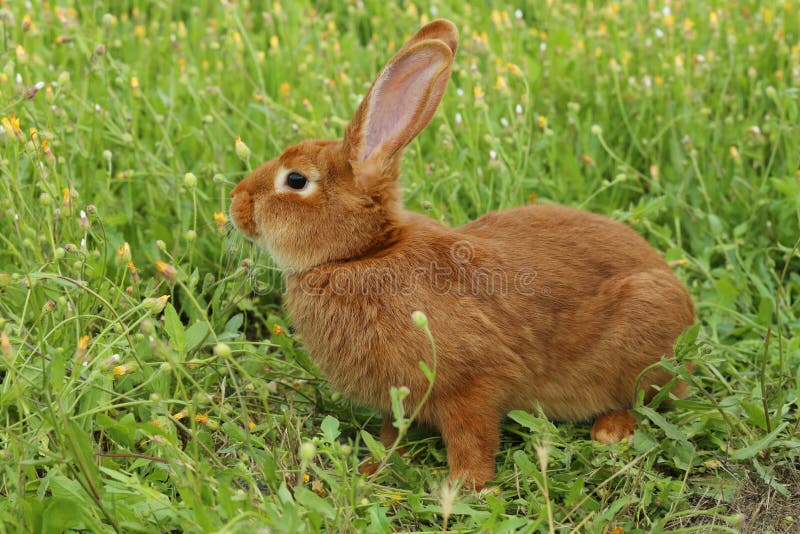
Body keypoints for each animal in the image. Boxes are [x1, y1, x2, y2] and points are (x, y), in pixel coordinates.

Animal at [229, 19, 695, 488]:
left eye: (295, 180)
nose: (236, 203)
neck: (364, 254)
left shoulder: (472, 384)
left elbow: (472, 435)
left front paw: (462, 486)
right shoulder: (398, 401)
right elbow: (391, 432)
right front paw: (373, 467)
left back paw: (610, 430)